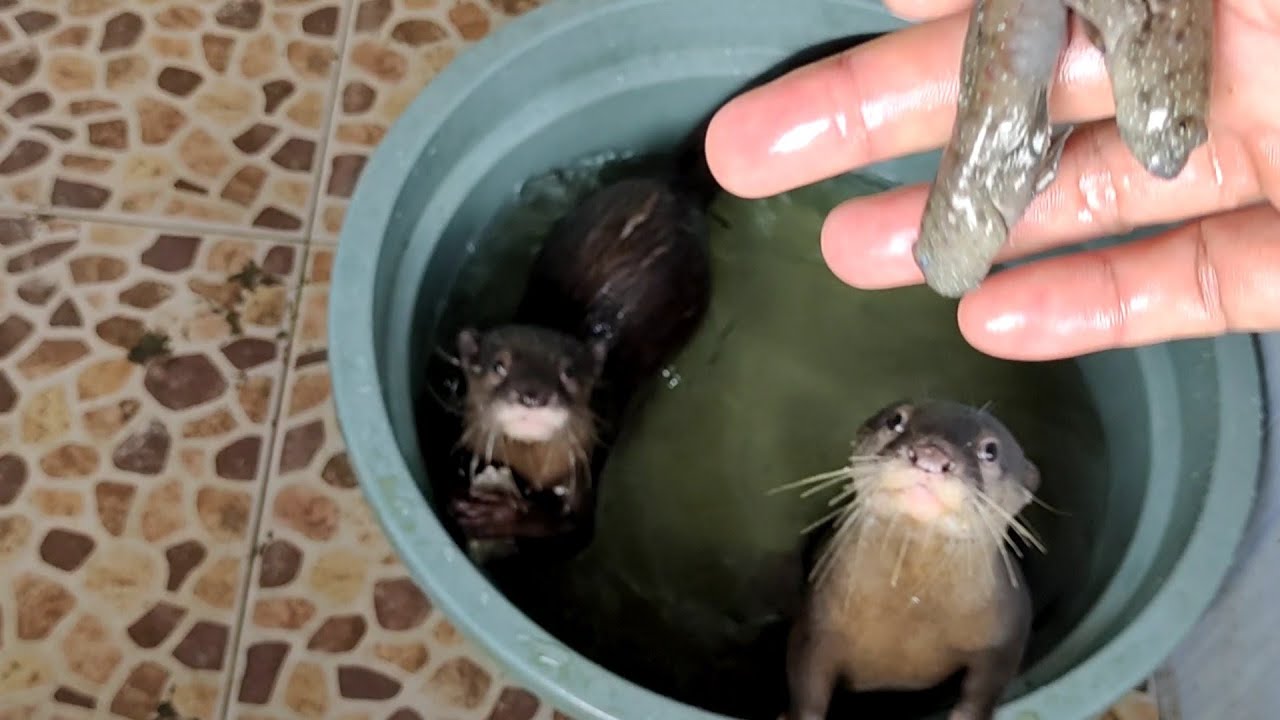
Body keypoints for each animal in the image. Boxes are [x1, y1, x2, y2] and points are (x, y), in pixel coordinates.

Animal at [781, 400, 1043, 720]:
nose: (932, 456)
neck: (911, 609)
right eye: (895, 420)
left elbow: (986, 687)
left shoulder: (1008, 632)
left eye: (990, 450)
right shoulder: (816, 624)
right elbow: (807, 684)